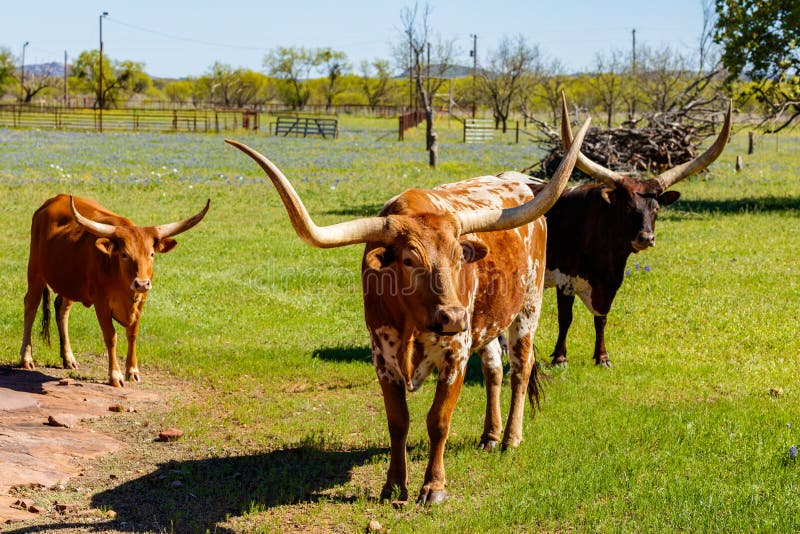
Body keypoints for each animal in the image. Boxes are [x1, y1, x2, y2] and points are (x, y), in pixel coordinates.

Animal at [20, 195, 210, 387]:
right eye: (124, 254)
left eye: (151, 254)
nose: (142, 283)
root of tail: (54, 200)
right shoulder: (101, 302)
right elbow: (111, 336)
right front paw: (115, 375)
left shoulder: (141, 301)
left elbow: (132, 334)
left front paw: (132, 371)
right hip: (35, 271)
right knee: (31, 306)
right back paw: (26, 357)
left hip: (69, 282)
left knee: (62, 309)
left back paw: (68, 358)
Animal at [224, 118, 589, 505]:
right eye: (410, 260)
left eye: (459, 256)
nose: (453, 317)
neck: (413, 326)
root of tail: (517, 182)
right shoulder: (382, 357)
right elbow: (397, 421)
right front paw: (393, 485)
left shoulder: (456, 354)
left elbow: (438, 420)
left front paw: (434, 487)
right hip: (486, 322)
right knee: (494, 369)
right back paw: (489, 437)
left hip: (528, 307)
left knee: (521, 369)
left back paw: (510, 438)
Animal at [536, 94, 731, 367]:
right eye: (628, 207)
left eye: (656, 208)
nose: (646, 238)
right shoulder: (566, 280)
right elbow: (566, 318)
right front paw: (560, 358)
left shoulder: (610, 283)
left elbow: (602, 318)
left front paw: (603, 357)